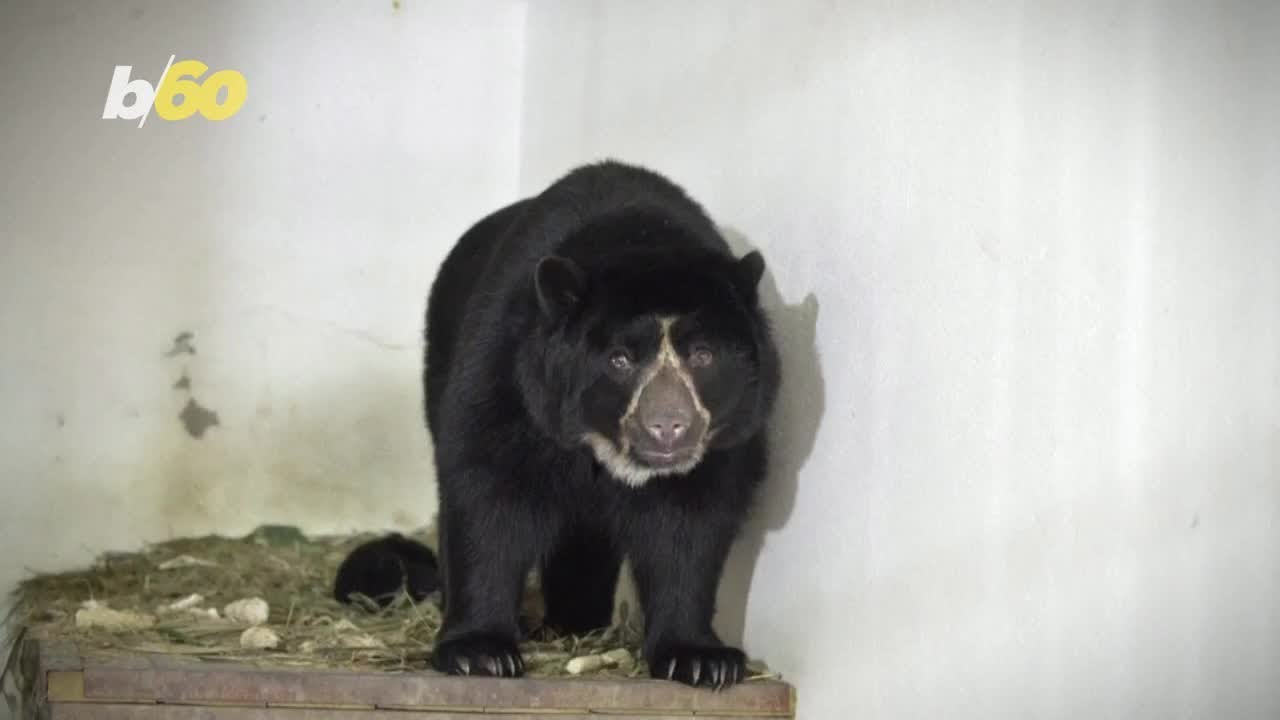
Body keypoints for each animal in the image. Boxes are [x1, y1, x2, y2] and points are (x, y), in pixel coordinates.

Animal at [423, 160, 780, 689]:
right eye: (619, 360)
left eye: (702, 355)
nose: (668, 427)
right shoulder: (503, 376)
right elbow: (488, 494)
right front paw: (479, 653)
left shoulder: (728, 439)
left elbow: (690, 527)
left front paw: (702, 660)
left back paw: (575, 621)